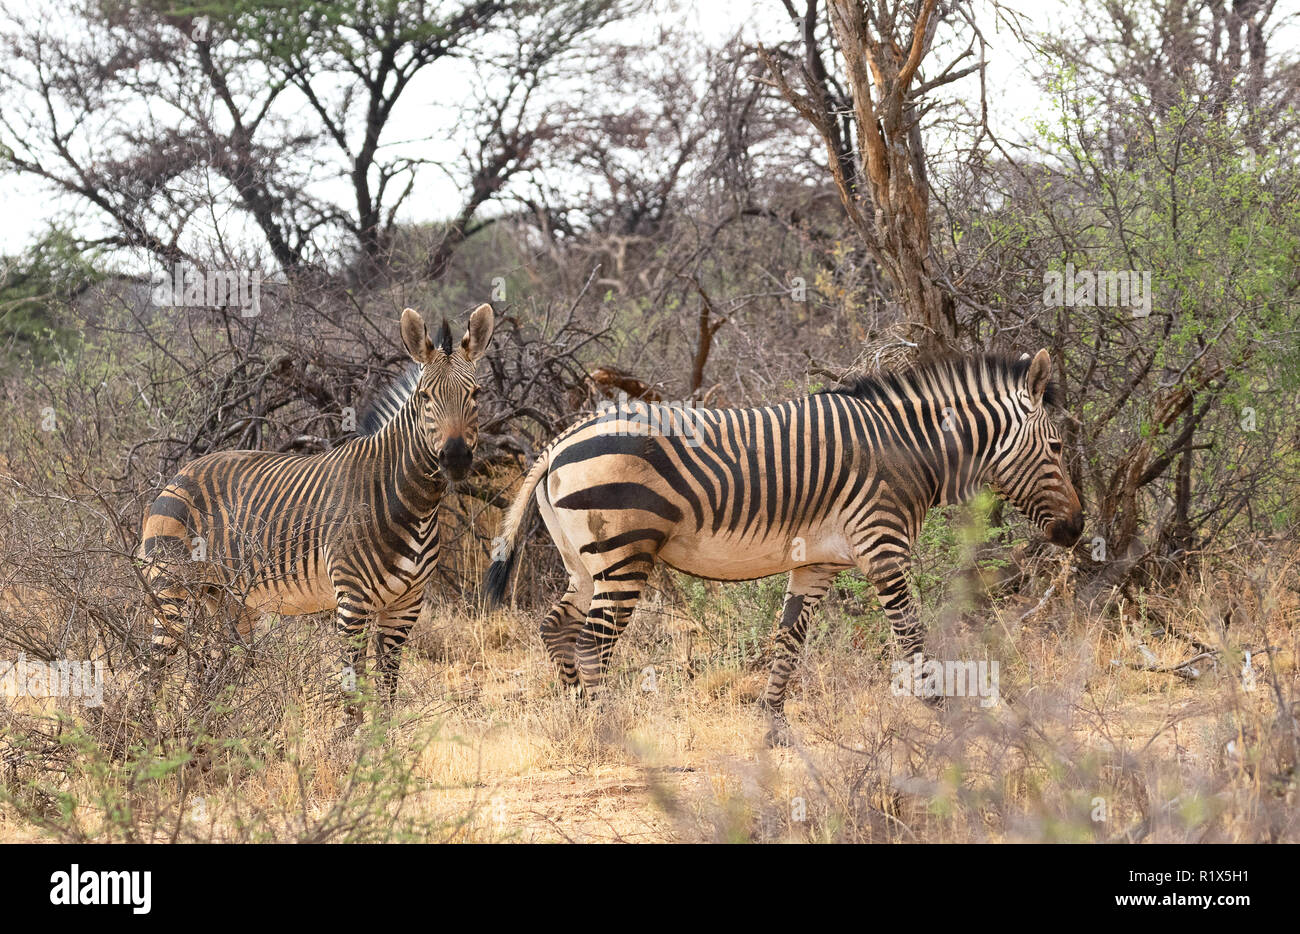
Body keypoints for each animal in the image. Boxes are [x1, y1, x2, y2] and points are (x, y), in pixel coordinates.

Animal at [139, 303, 495, 704]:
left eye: (475, 394)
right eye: (425, 397)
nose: (456, 458)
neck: (413, 503)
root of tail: (178, 474)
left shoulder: (405, 607)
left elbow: (387, 691)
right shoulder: (353, 602)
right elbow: (353, 691)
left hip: (230, 601)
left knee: (209, 678)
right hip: (170, 589)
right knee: (151, 674)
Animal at [484, 349, 1083, 742]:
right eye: (1056, 447)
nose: (1077, 530)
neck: (909, 447)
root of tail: (561, 439)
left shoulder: (816, 562)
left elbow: (788, 642)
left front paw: (774, 728)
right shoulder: (882, 545)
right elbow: (911, 634)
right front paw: (943, 712)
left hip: (583, 563)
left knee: (556, 627)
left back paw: (576, 715)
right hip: (623, 556)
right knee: (592, 641)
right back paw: (606, 728)